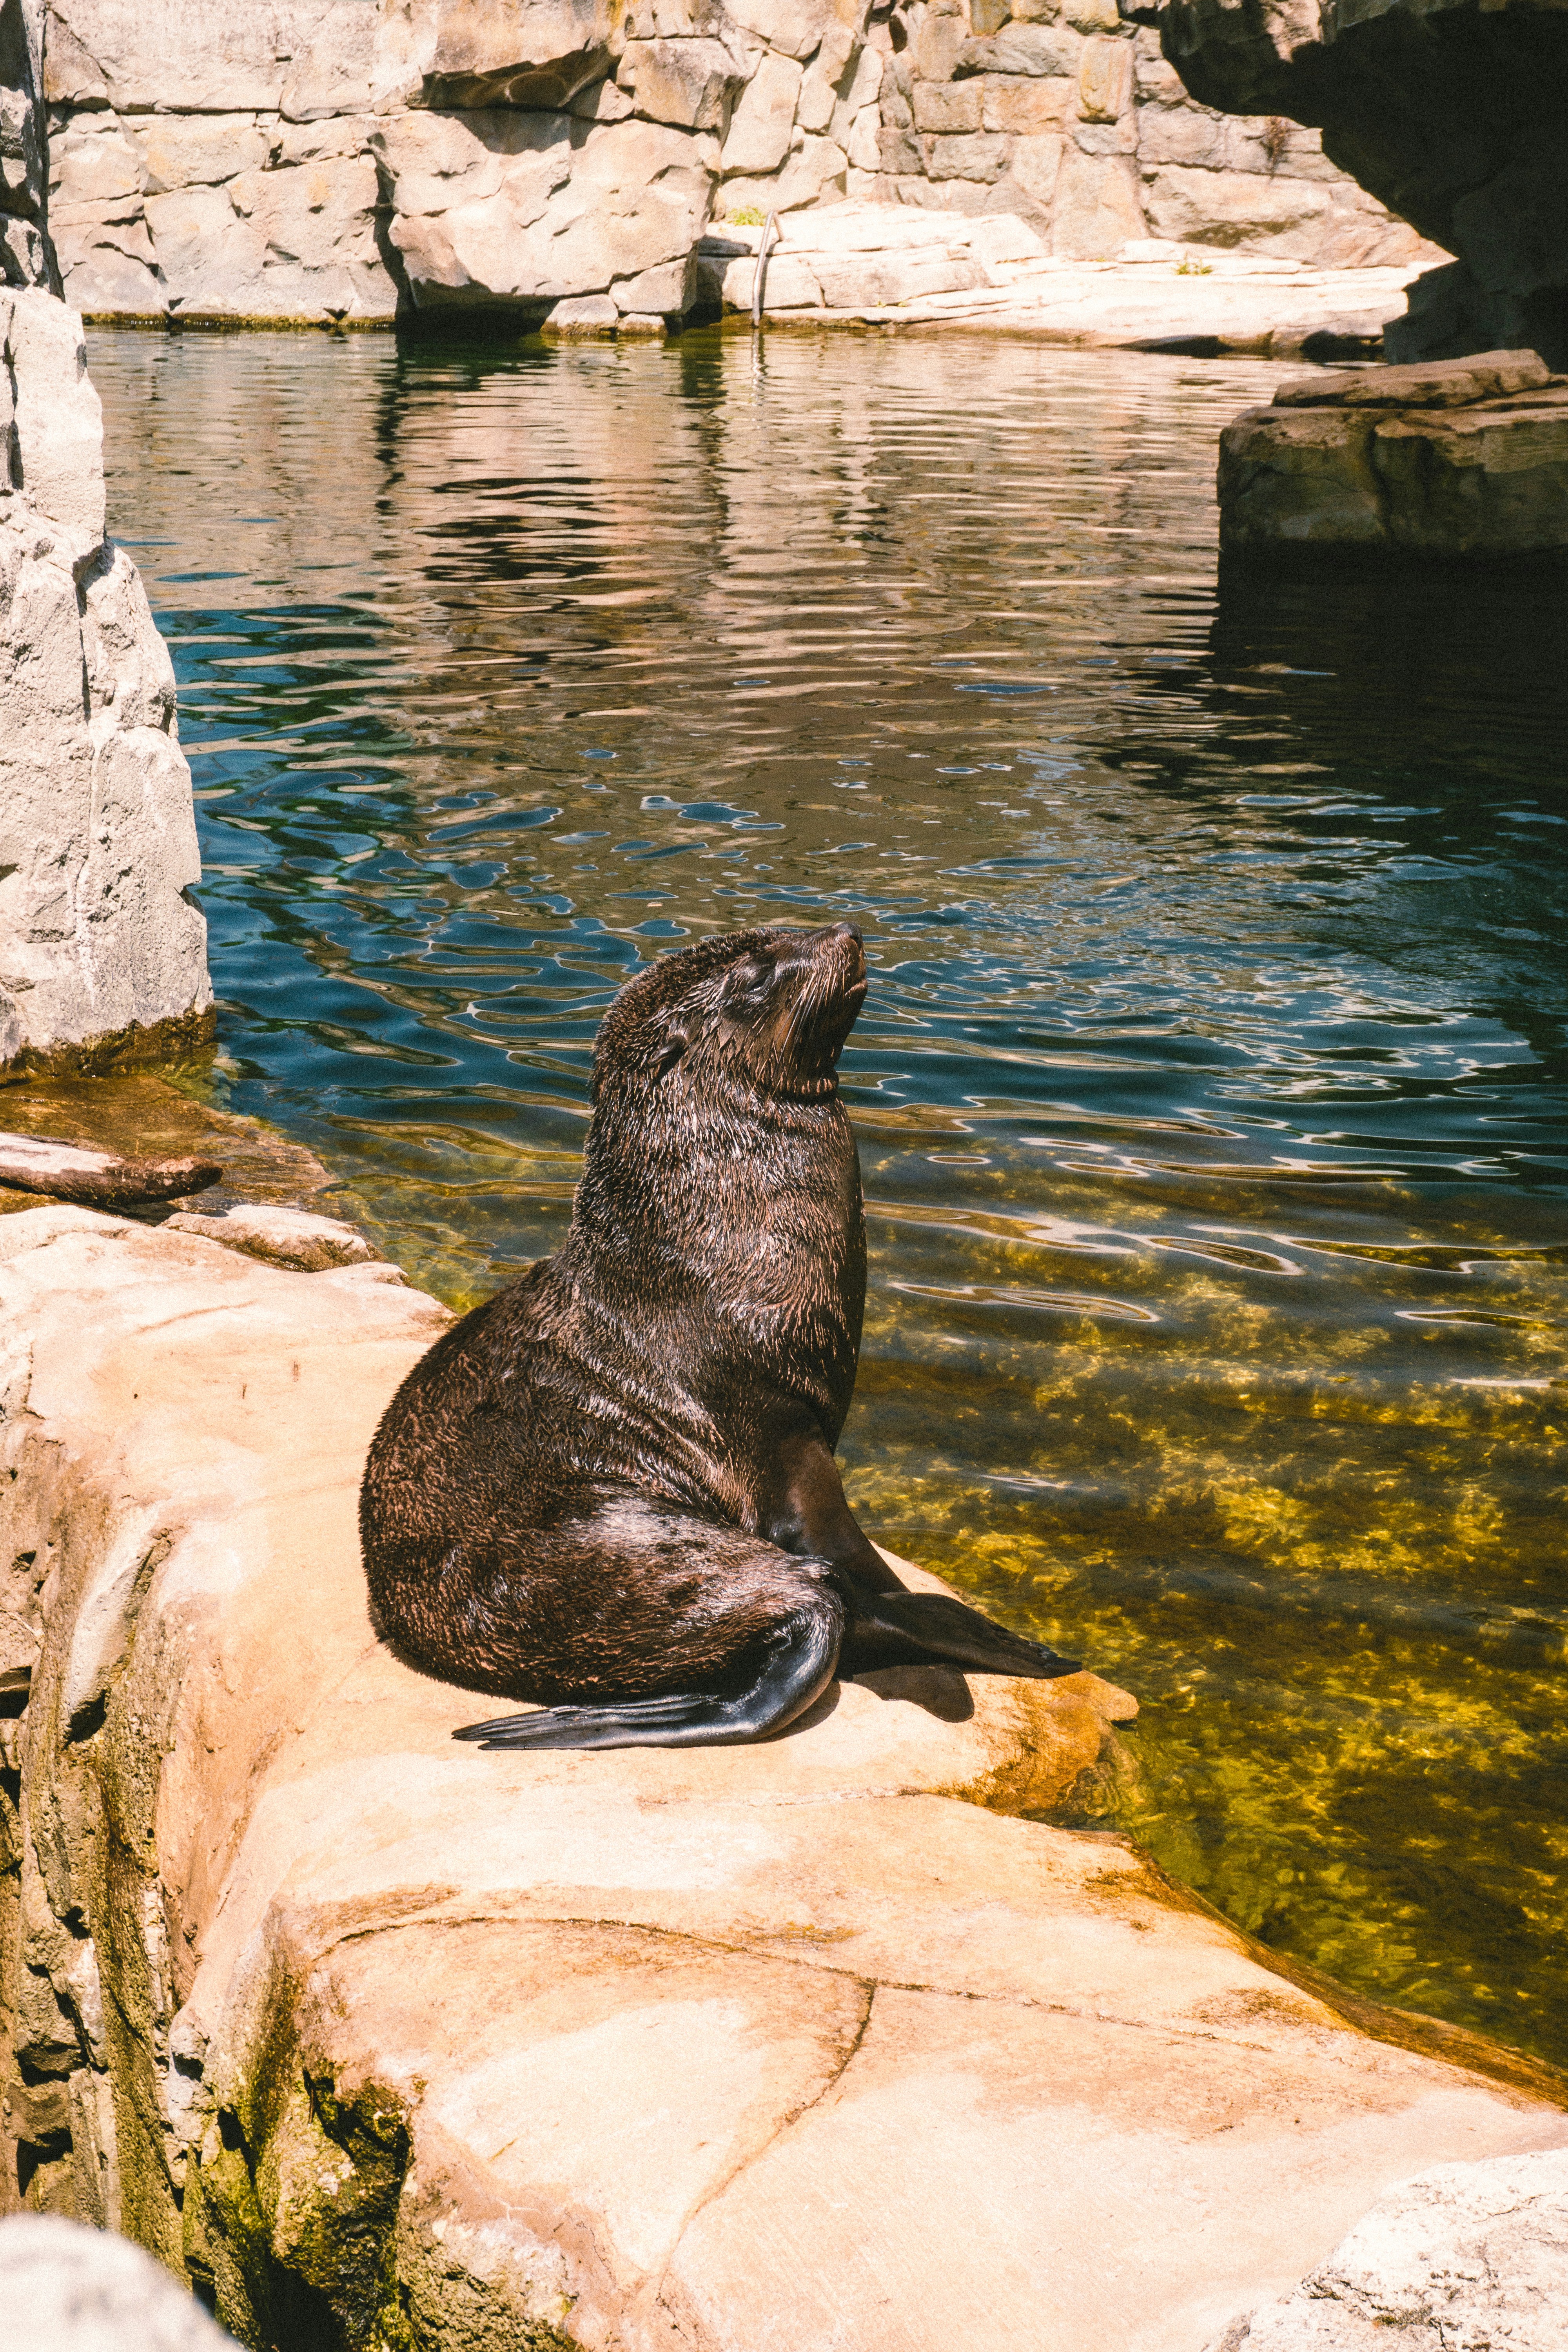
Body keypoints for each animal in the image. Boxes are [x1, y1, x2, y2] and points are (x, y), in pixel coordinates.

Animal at [360, 920, 1081, 1750]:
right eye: (757, 976)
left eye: (780, 933)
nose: (845, 930)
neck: (705, 1235)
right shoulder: (781, 1430)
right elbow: (843, 1547)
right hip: (634, 1548)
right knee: (815, 1601)